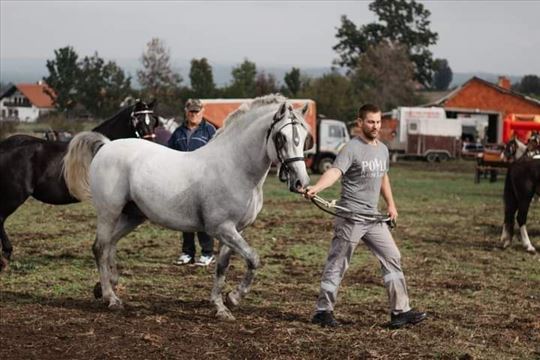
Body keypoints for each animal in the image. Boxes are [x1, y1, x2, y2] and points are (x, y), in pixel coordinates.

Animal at [62, 94, 310, 320]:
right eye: (281, 137)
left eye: (305, 136)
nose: (301, 182)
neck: (234, 168)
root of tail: (105, 147)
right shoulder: (222, 228)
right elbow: (253, 259)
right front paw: (233, 298)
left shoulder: (234, 231)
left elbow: (222, 267)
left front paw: (221, 306)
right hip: (109, 213)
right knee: (100, 247)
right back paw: (111, 298)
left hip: (132, 216)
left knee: (110, 245)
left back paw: (106, 287)